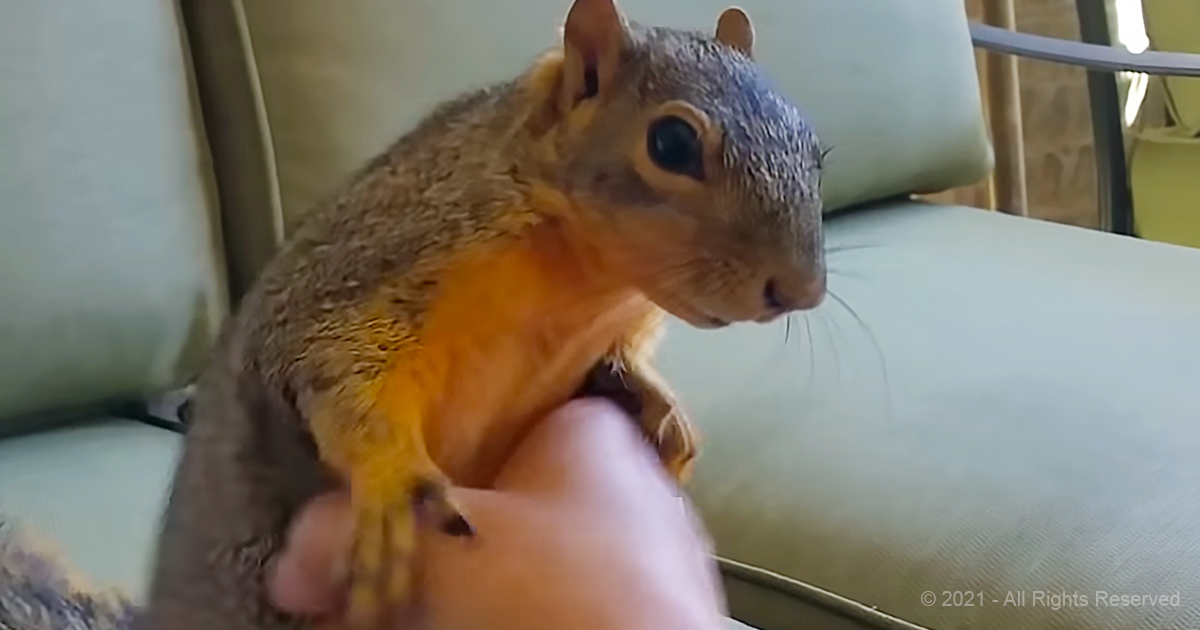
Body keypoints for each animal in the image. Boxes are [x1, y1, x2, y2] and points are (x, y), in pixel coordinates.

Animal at [141, 0, 826, 628]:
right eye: (672, 143)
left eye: (816, 150)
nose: (800, 291)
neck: (586, 289)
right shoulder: (376, 261)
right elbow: (332, 362)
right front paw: (393, 480)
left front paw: (660, 407)